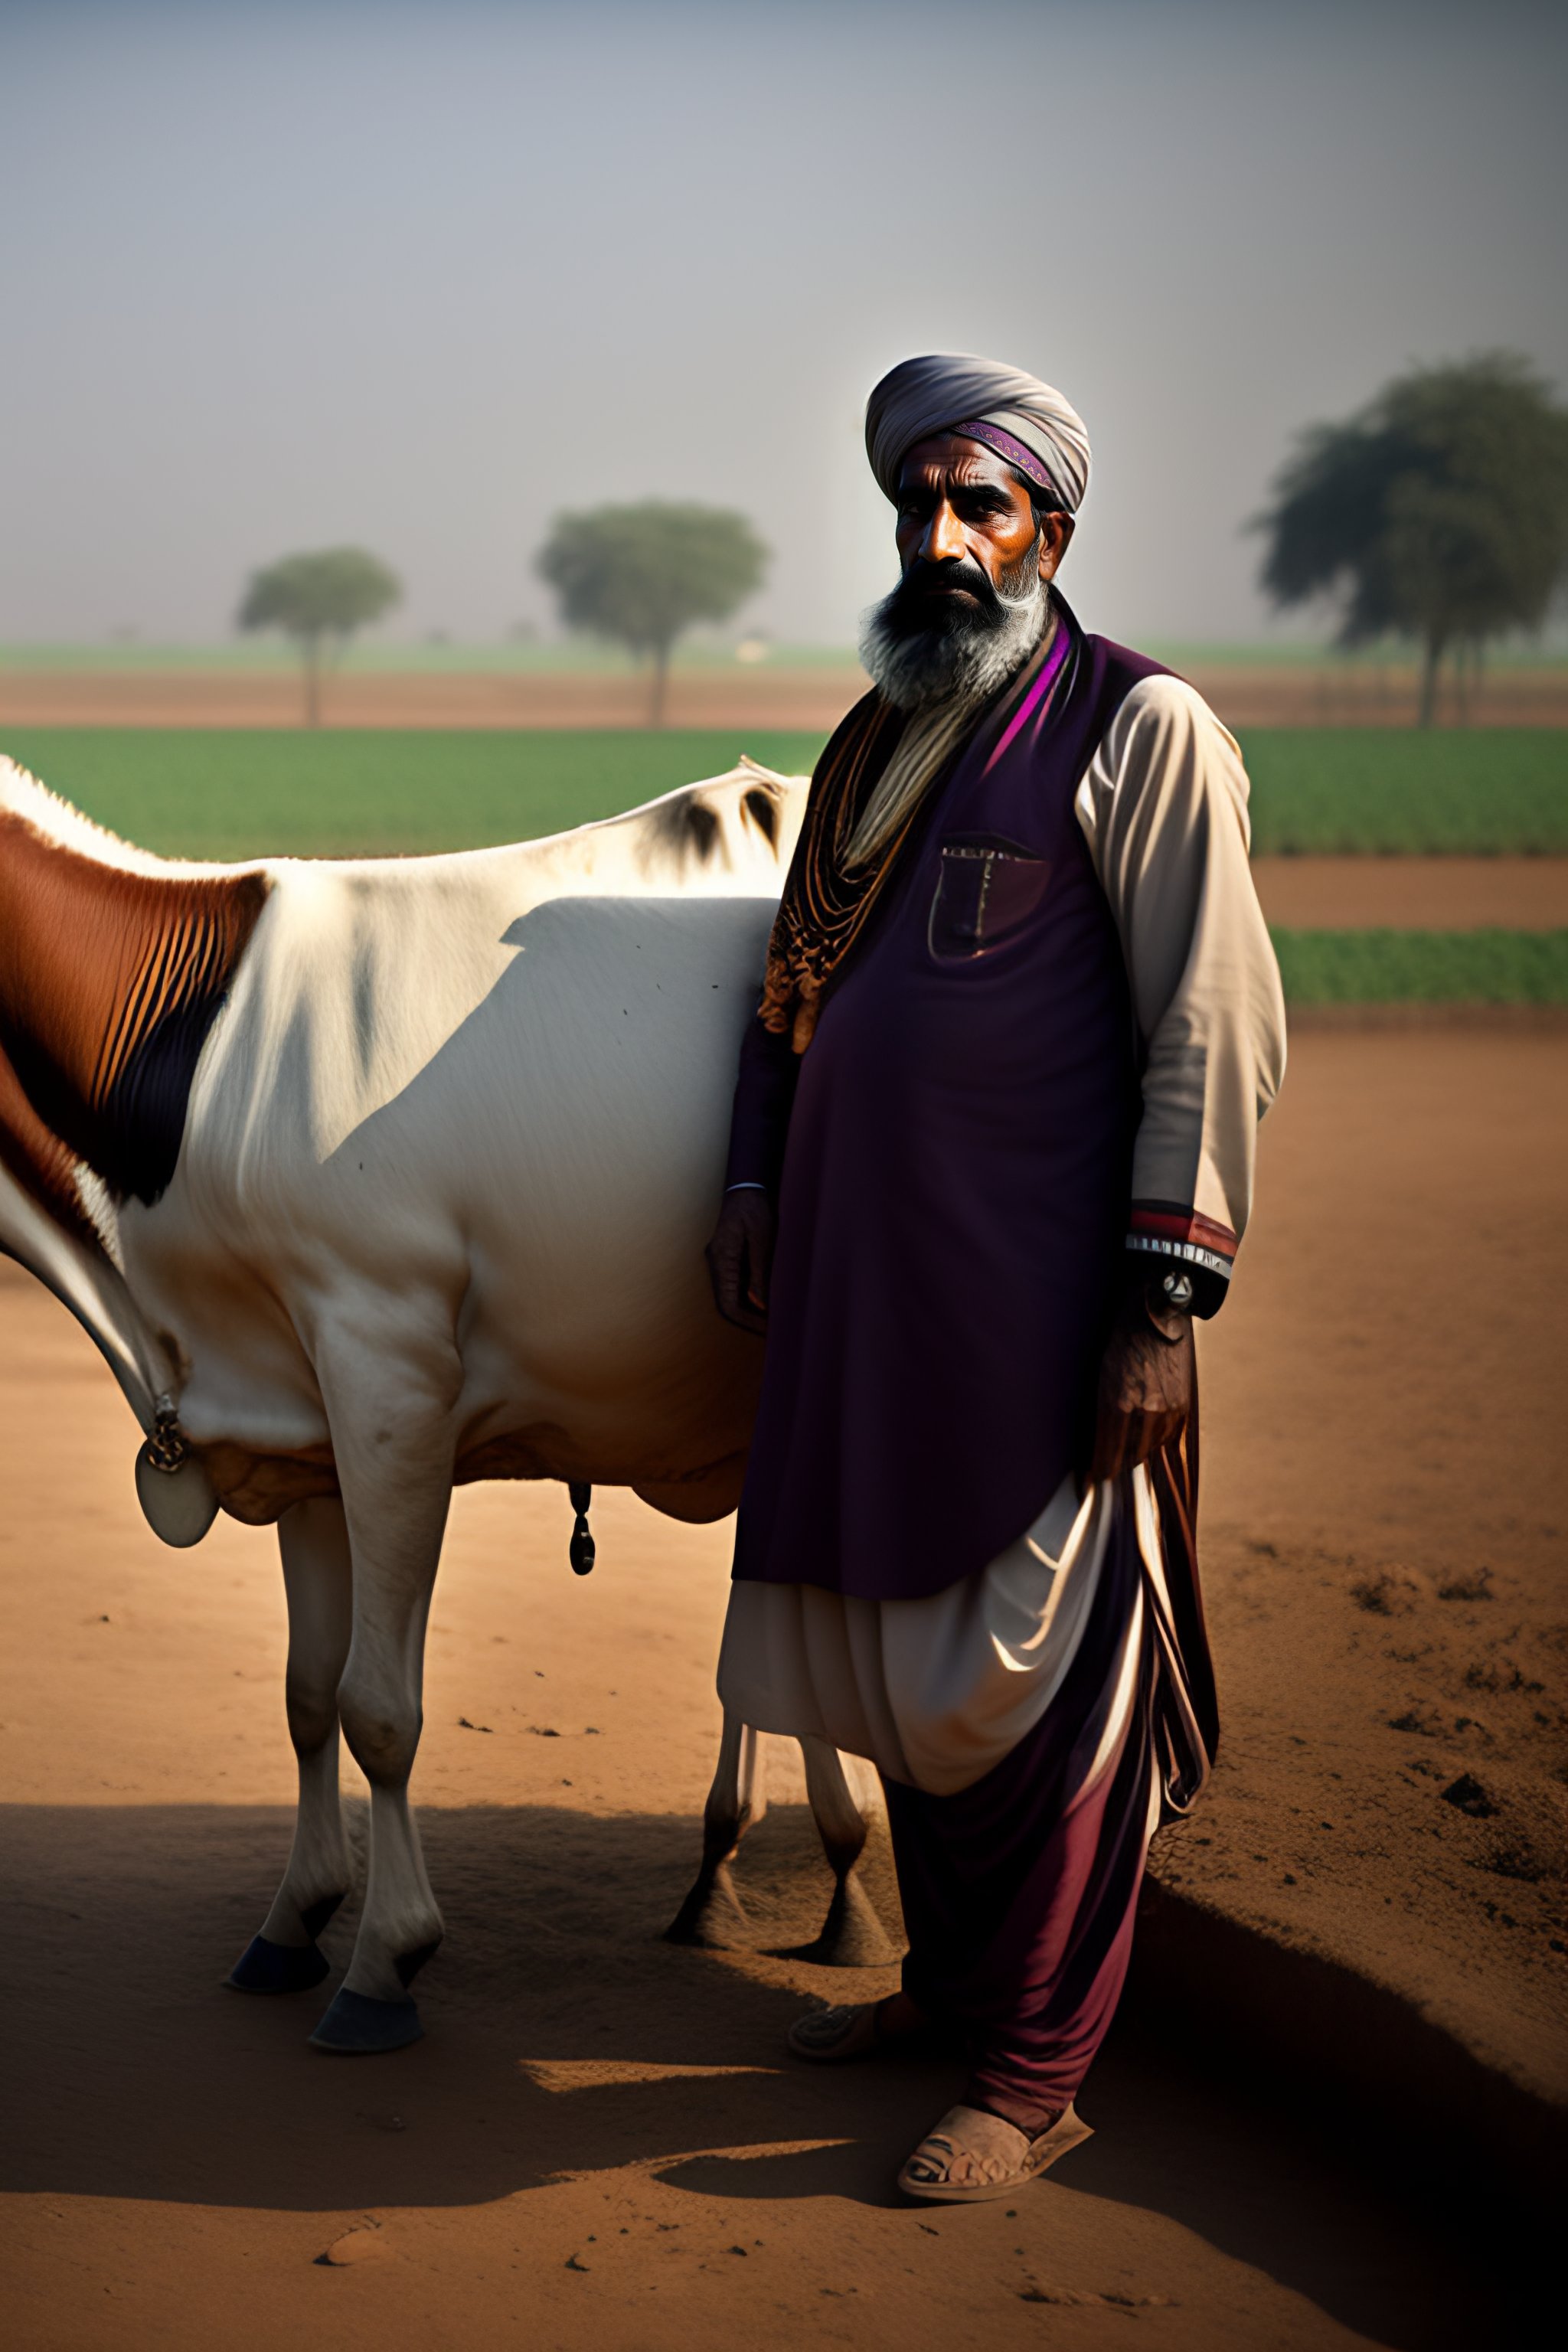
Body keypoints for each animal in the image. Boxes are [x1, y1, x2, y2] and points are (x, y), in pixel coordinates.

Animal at [0, 753, 893, 2054]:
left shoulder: (388, 1373)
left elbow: (379, 1707)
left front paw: (385, 1959)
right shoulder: (302, 1415)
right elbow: (306, 1695)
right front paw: (294, 1918)